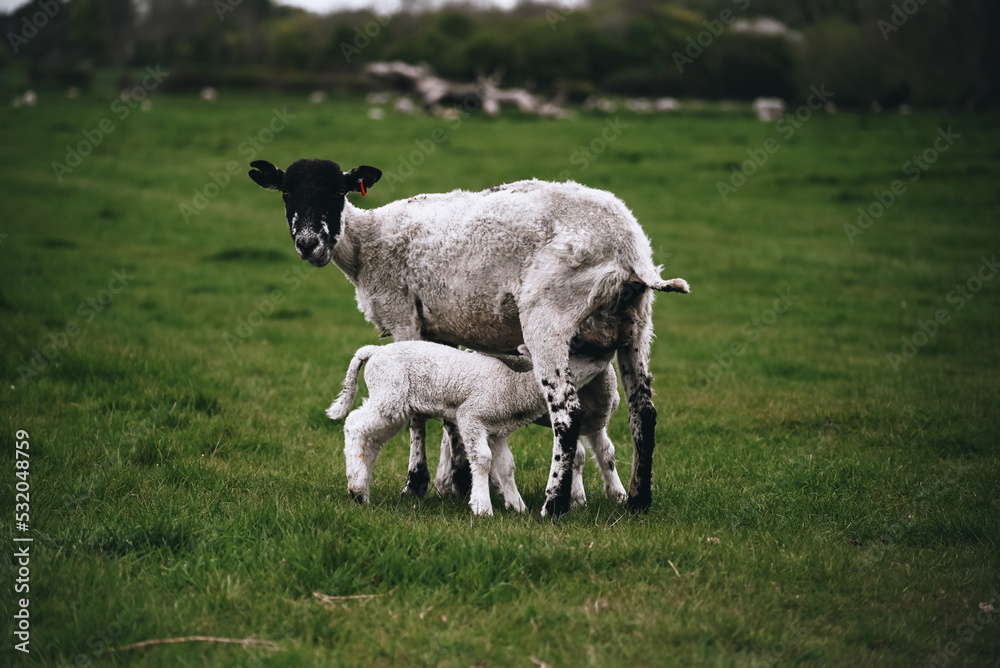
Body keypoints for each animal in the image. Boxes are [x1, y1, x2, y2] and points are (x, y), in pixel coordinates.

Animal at [326, 341, 626, 516]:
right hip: (389, 393)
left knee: (372, 441)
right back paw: (357, 484)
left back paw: (361, 490)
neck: (513, 386)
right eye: (571, 358)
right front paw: (482, 506)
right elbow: (482, 459)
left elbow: (506, 465)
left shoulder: (497, 430)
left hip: (393, 405)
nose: (608, 352)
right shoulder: (471, 416)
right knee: (354, 425)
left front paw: (516, 505)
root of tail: (372, 350)